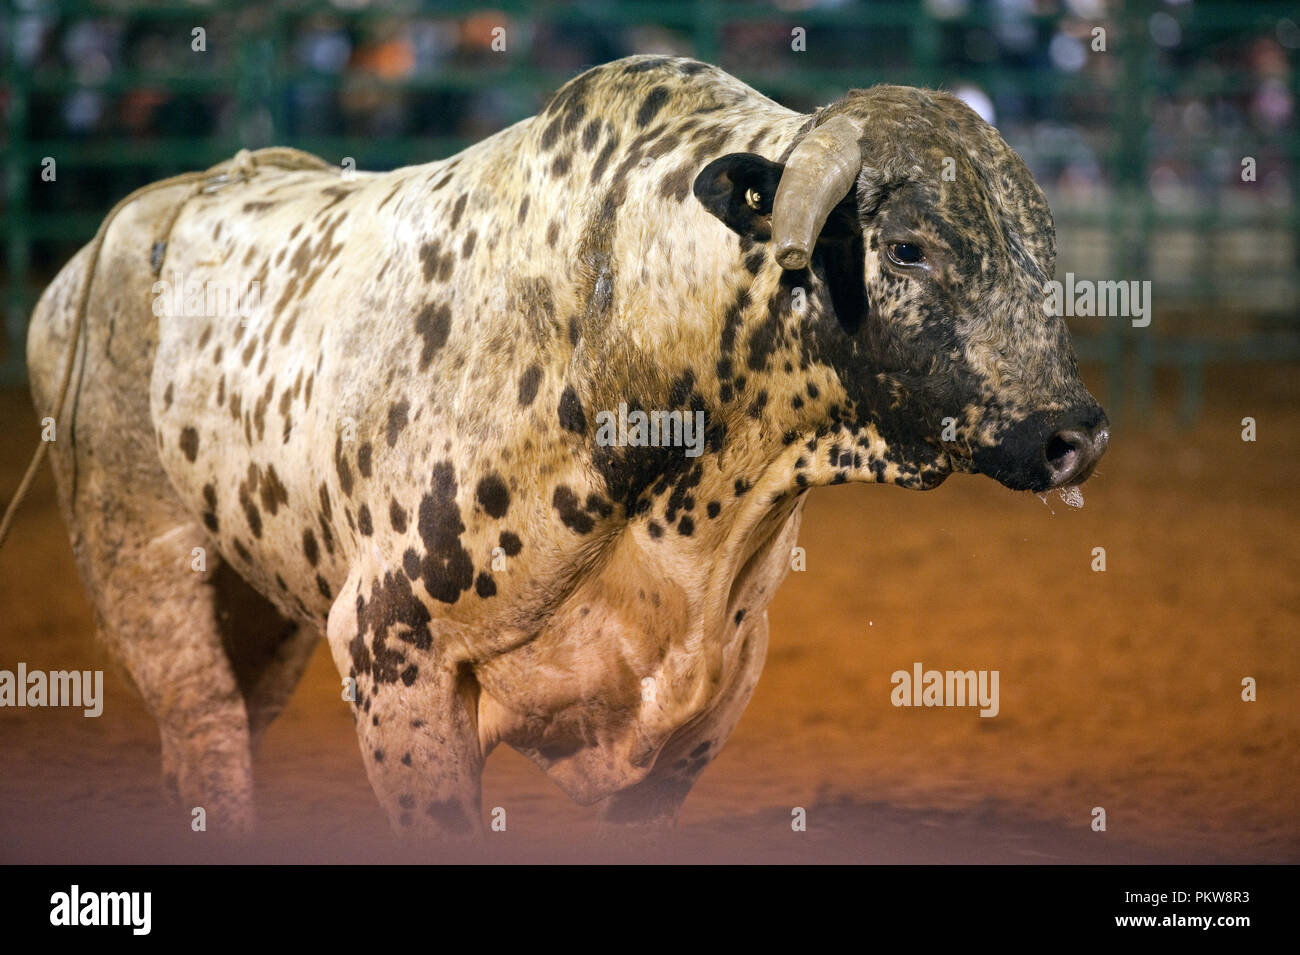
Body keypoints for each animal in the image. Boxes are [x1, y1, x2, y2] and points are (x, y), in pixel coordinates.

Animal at [19, 55, 1107, 838]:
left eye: (1043, 248)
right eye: (909, 246)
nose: (1073, 432)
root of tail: (121, 232)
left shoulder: (707, 699)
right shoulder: (388, 655)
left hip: (263, 612)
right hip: (149, 570)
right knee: (207, 738)